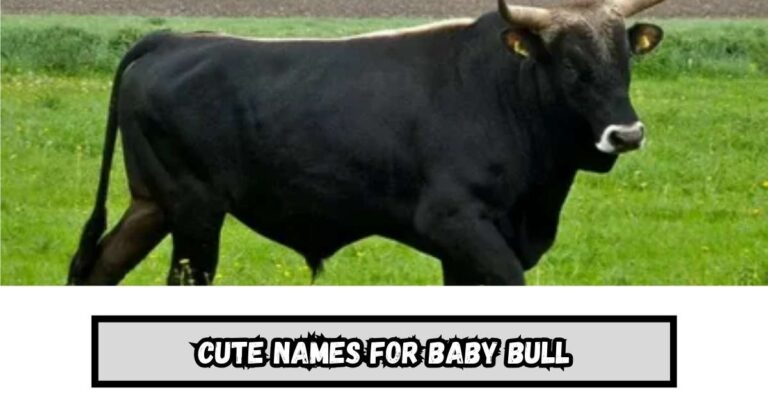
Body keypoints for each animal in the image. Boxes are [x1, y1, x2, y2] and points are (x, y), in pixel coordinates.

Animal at [68, 0, 666, 286]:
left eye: (625, 57)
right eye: (569, 64)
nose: (626, 133)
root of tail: (171, 39)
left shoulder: (468, 249)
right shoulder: (457, 223)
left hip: (152, 203)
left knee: (98, 269)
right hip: (195, 211)